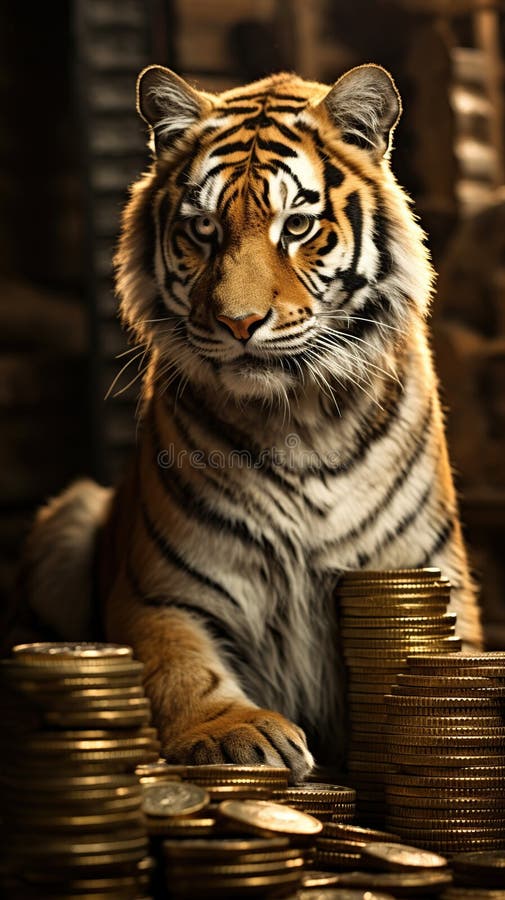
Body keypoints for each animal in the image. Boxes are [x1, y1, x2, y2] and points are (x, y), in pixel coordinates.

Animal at [18, 63, 483, 780]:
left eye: (296, 226)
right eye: (204, 228)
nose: (239, 323)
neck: (300, 421)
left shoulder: (434, 576)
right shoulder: (161, 595)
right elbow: (177, 669)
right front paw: (232, 731)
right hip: (65, 522)